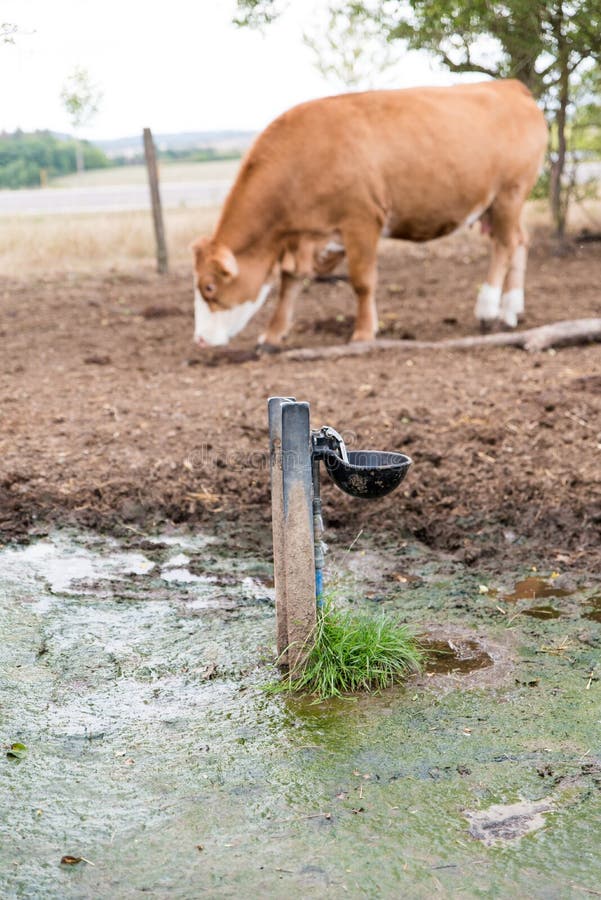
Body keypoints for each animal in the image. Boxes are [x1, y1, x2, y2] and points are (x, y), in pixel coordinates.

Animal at [192, 80, 548, 347]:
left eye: (209, 287)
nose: (200, 340)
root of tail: (508, 85)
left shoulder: (360, 221)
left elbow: (362, 281)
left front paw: (363, 332)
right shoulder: (301, 236)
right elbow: (289, 283)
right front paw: (273, 334)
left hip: (509, 192)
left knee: (504, 245)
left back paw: (487, 310)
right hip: (505, 204)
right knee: (520, 241)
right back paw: (511, 310)